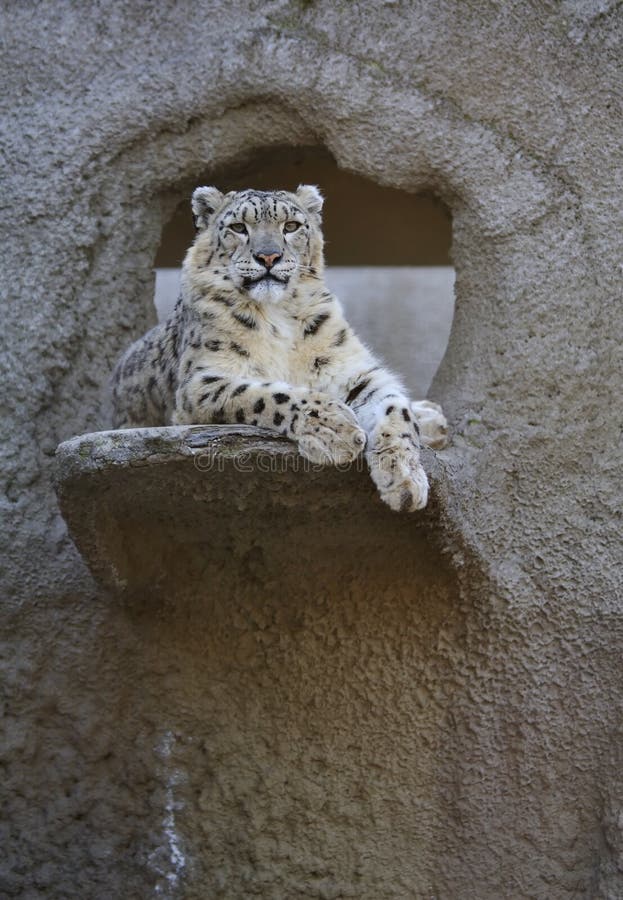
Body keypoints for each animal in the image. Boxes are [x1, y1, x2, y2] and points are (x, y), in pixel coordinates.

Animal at [110, 185, 448, 512]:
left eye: (291, 226)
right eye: (238, 227)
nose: (268, 256)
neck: (278, 316)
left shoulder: (353, 370)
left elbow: (394, 407)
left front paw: (404, 479)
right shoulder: (201, 382)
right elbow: (266, 394)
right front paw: (336, 430)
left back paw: (431, 418)